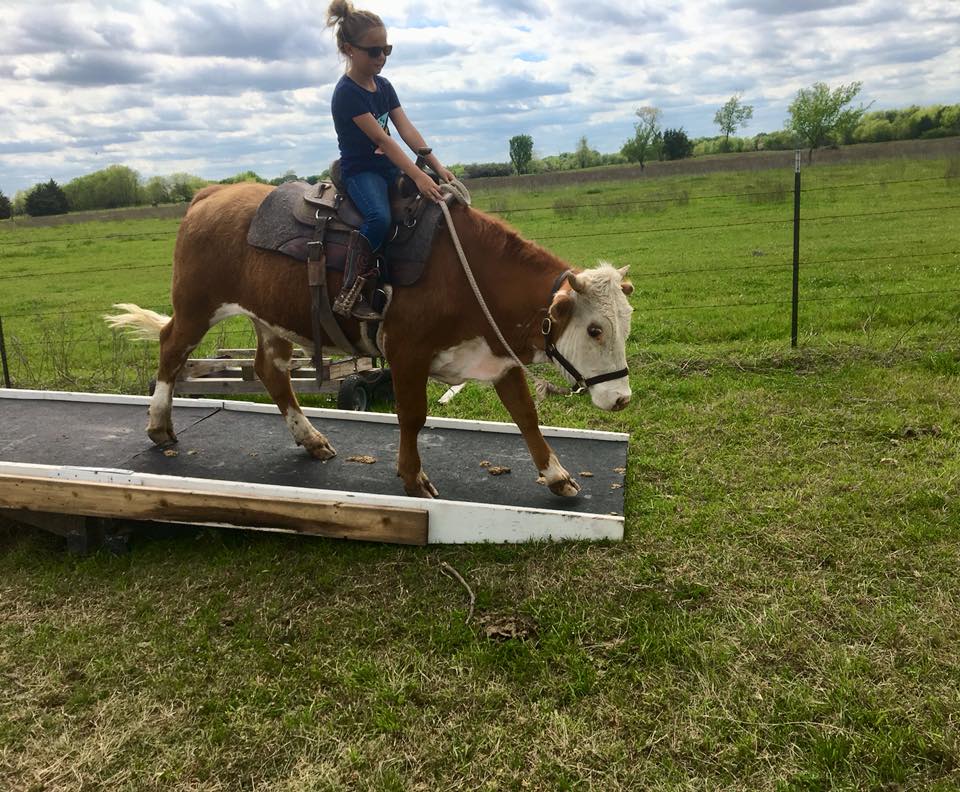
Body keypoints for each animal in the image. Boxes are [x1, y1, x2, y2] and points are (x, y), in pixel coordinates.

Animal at [106, 182, 633, 499]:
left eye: (624, 325)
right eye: (594, 329)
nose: (622, 398)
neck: (470, 273)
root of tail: (212, 193)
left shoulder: (497, 354)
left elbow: (525, 416)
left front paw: (557, 475)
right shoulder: (406, 353)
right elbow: (413, 416)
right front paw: (414, 478)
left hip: (270, 319)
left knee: (270, 371)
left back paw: (311, 439)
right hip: (197, 305)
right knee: (171, 349)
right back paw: (159, 425)